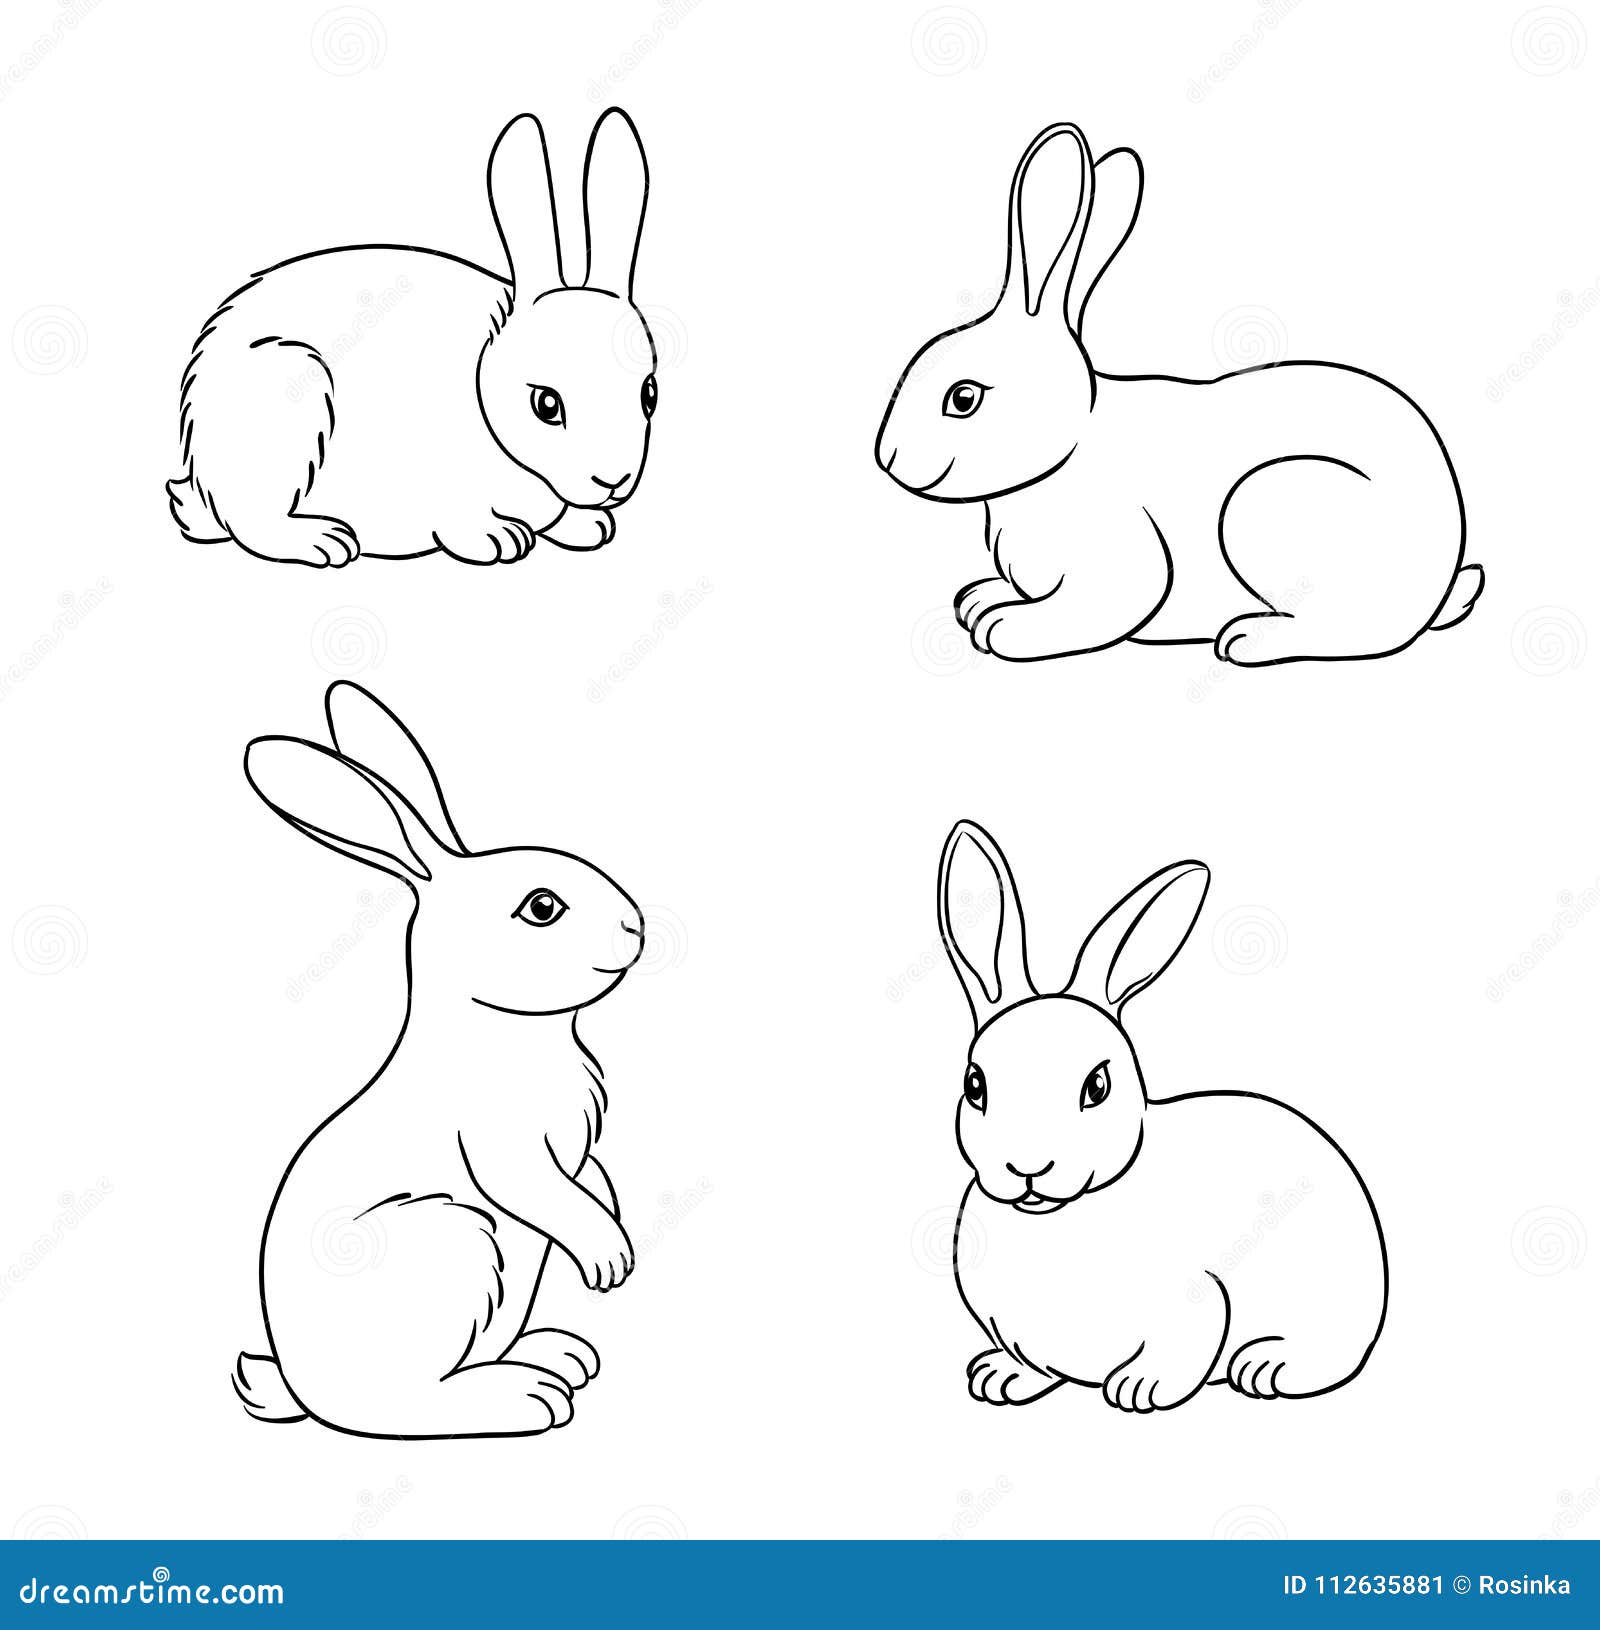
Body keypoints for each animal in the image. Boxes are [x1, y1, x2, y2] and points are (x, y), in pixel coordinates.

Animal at [168, 110, 657, 568]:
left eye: (649, 395)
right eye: (547, 405)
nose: (614, 483)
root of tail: (200, 479)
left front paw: (588, 526)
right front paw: (498, 539)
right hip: (286, 399)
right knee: (253, 522)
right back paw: (323, 540)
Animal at [231, 682, 646, 1439]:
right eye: (543, 907)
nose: (637, 927)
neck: (513, 1034)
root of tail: (300, 1388)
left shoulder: (576, 1150)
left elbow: (591, 1179)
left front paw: (614, 1229)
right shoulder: (504, 1146)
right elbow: (546, 1194)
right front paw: (608, 1258)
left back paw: (559, 1356)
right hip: (454, 1241)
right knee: (401, 1405)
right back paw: (525, 1398)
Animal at [876, 123, 1483, 665]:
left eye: (962, 399)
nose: (889, 460)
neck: (1069, 448)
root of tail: (1439, 574)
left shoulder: (1118, 560)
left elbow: (1101, 605)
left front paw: (1003, 626)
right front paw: (977, 601)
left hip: (1268, 507)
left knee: (1353, 632)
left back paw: (1249, 639)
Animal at [937, 821, 1387, 1412]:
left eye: (1097, 1086)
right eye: (975, 1085)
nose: (1027, 1168)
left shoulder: (1197, 1300)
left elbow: (1187, 1345)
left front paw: (1139, 1390)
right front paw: (998, 1378)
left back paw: (1267, 1366)